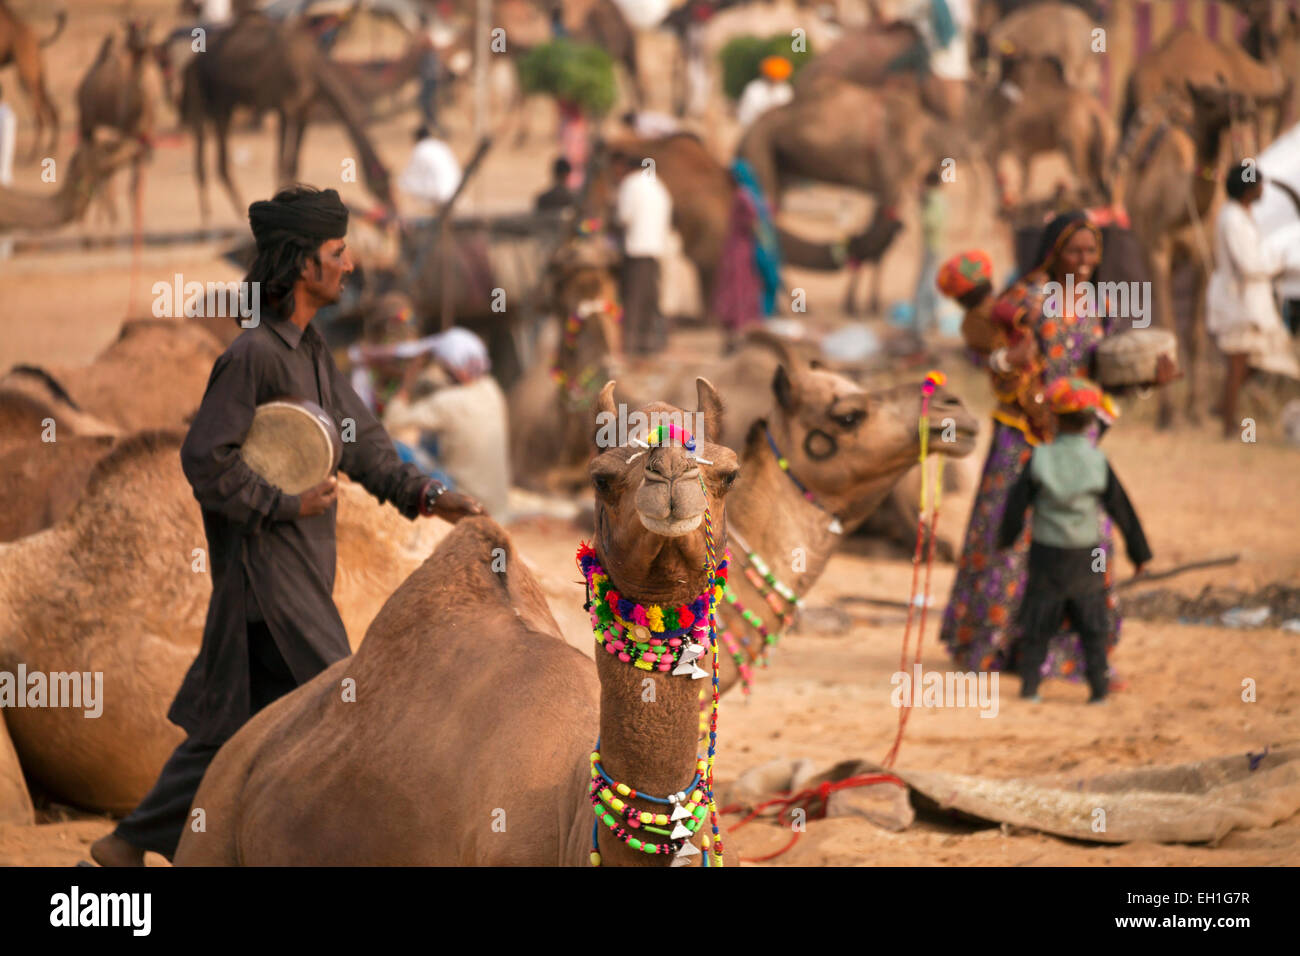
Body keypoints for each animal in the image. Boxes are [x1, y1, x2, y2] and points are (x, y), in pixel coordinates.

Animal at [0, 1, 64, 160]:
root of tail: (38, 39)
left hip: (26, 74)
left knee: (39, 116)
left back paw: (33, 155)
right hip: (39, 73)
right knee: (51, 107)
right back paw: (51, 147)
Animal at [75, 19, 157, 226]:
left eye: (148, 28)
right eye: (132, 27)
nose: (141, 42)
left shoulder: (144, 143)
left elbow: (136, 186)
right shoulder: (122, 134)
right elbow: (114, 176)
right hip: (87, 122)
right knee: (92, 164)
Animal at [174, 380, 738, 866]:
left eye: (729, 473)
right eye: (601, 477)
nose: (670, 472)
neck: (575, 825)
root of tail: (239, 746)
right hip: (211, 828)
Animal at [180, 11, 394, 220]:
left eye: (389, 178)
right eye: (382, 183)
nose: (392, 208)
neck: (312, 69)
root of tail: (192, 62)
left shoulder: (304, 110)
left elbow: (293, 164)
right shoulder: (285, 107)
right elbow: (281, 164)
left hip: (217, 101)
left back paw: (212, 212)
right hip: (214, 100)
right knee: (214, 153)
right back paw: (223, 214)